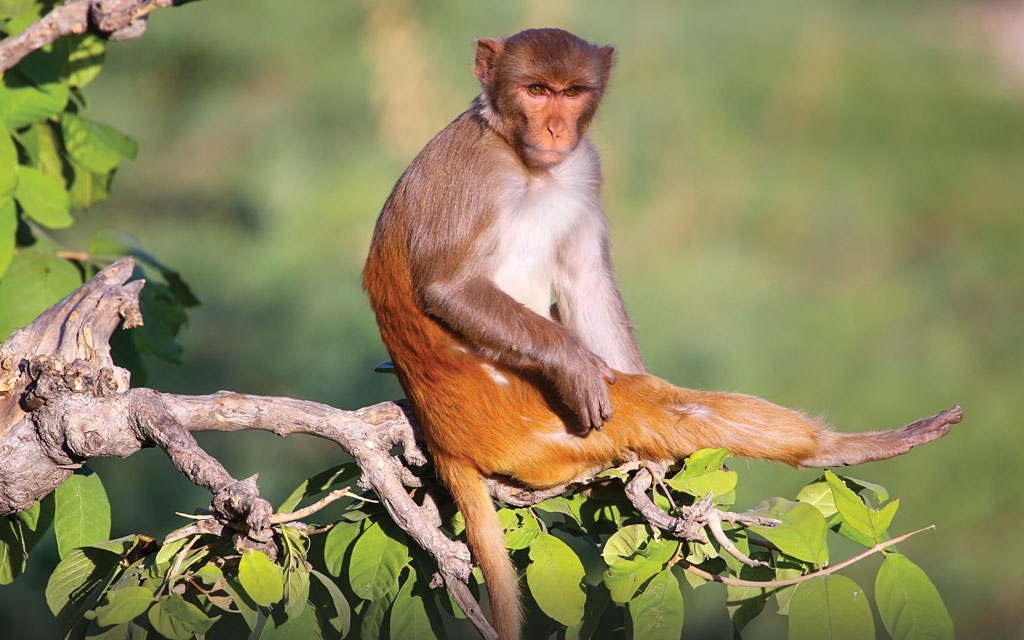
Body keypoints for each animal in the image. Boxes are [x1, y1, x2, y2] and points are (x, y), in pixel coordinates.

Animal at [362, 28, 958, 640]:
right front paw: (575, 365)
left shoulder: (584, 166)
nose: (554, 130)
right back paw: (838, 448)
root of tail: (445, 440)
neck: (527, 165)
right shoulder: (474, 173)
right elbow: (448, 286)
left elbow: (586, 281)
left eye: (571, 93)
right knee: (663, 408)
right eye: (535, 90)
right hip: (527, 422)